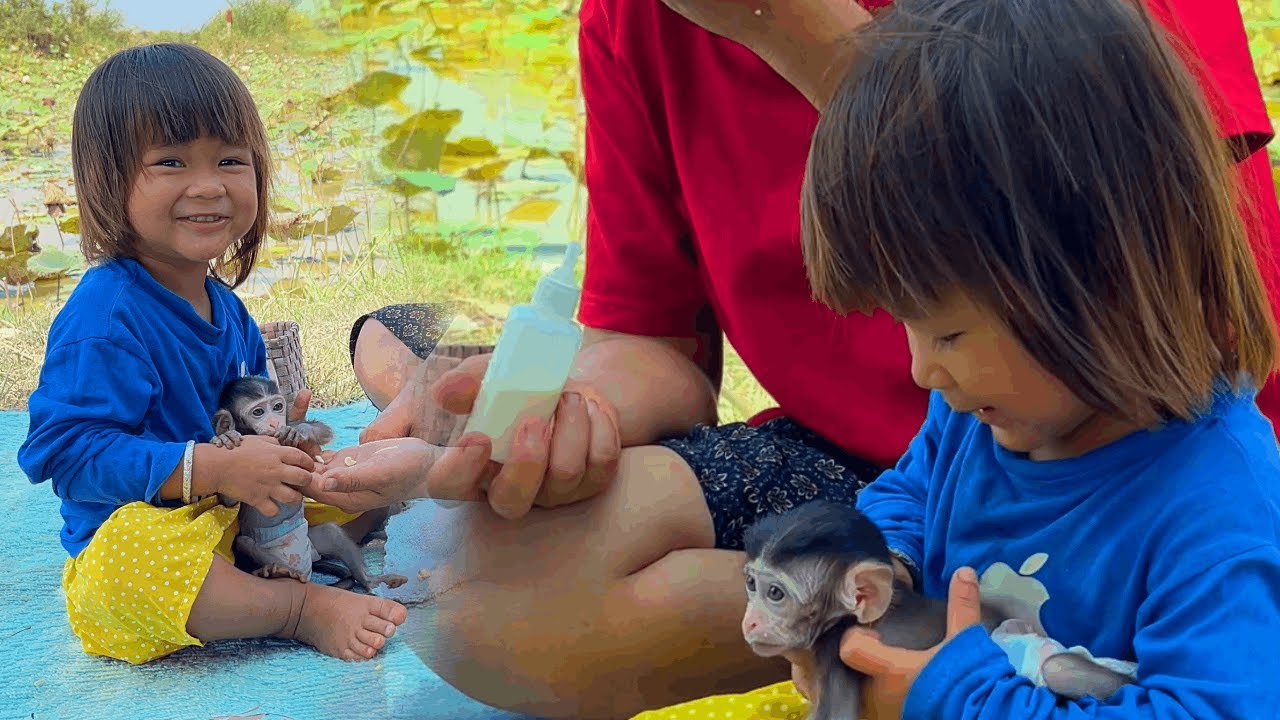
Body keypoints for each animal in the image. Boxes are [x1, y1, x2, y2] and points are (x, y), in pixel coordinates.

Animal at [211, 375, 408, 592]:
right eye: (258, 412)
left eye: (278, 407)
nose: (274, 423)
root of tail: (308, 568)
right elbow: (229, 500)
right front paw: (226, 436)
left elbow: (321, 430)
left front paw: (300, 430)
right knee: (243, 543)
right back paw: (278, 571)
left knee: (331, 533)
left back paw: (369, 580)